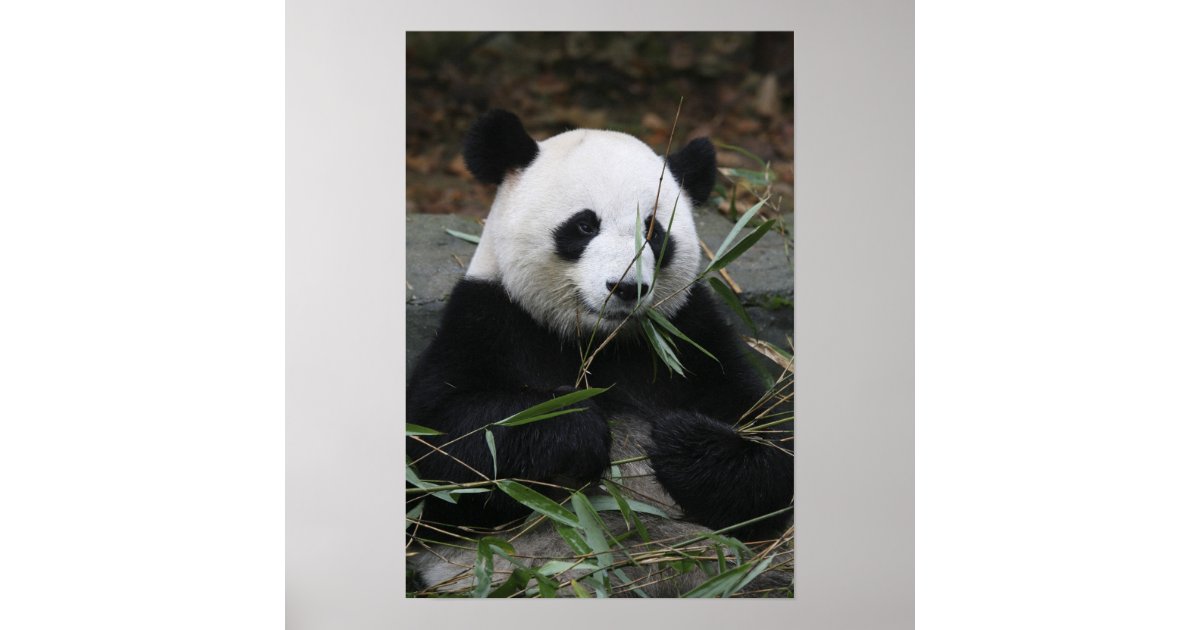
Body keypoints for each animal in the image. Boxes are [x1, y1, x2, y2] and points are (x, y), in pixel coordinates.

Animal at [407, 110, 793, 597]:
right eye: (584, 225)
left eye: (653, 231)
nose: (625, 288)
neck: (596, 340)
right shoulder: (487, 320)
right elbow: (438, 456)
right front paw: (576, 425)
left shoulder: (692, 335)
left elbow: (772, 445)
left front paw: (678, 440)